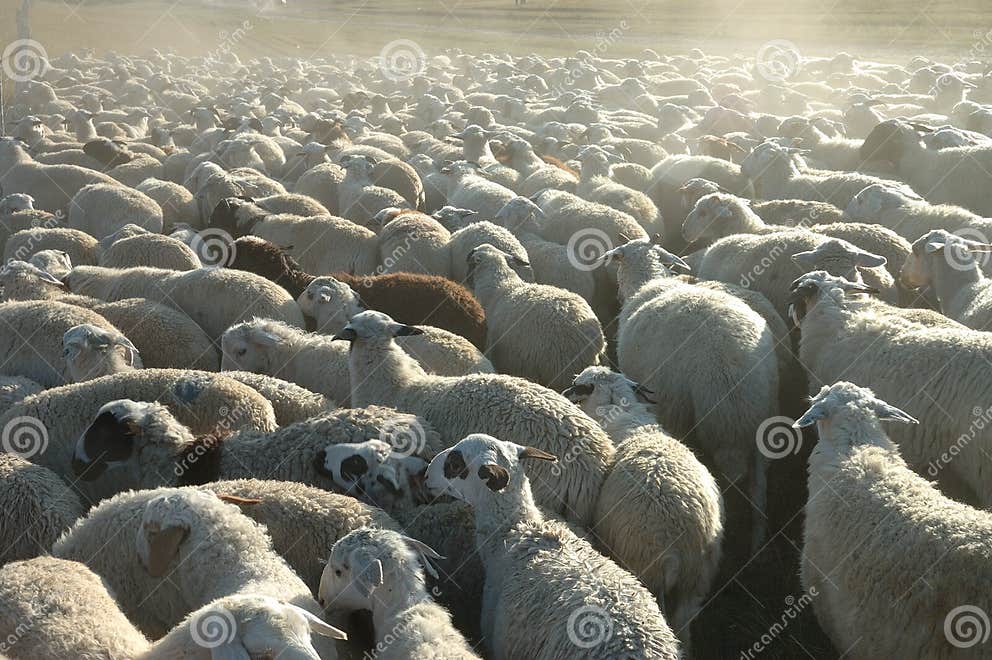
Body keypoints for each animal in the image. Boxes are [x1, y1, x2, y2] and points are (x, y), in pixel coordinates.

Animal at [563, 367, 723, 650]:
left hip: (645, 569)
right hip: (697, 579)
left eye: (577, 385)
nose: (563, 391)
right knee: (683, 624)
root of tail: (674, 550)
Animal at [604, 237, 778, 554]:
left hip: (695, 413)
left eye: (619, 260)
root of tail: (729, 364)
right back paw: (757, 546)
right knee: (759, 488)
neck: (648, 281)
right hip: (763, 416)